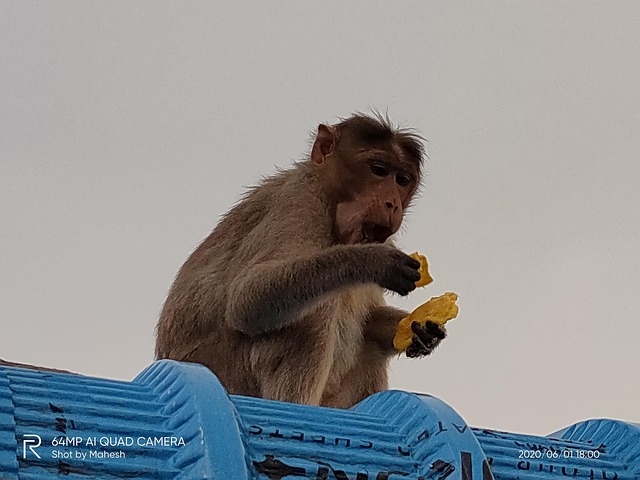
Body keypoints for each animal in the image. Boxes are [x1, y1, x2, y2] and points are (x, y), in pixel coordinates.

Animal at [155, 113, 447, 408]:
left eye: (402, 179)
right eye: (378, 169)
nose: (392, 204)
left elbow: (371, 320)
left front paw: (423, 330)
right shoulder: (300, 201)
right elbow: (247, 300)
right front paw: (373, 262)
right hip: (225, 370)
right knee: (312, 315)